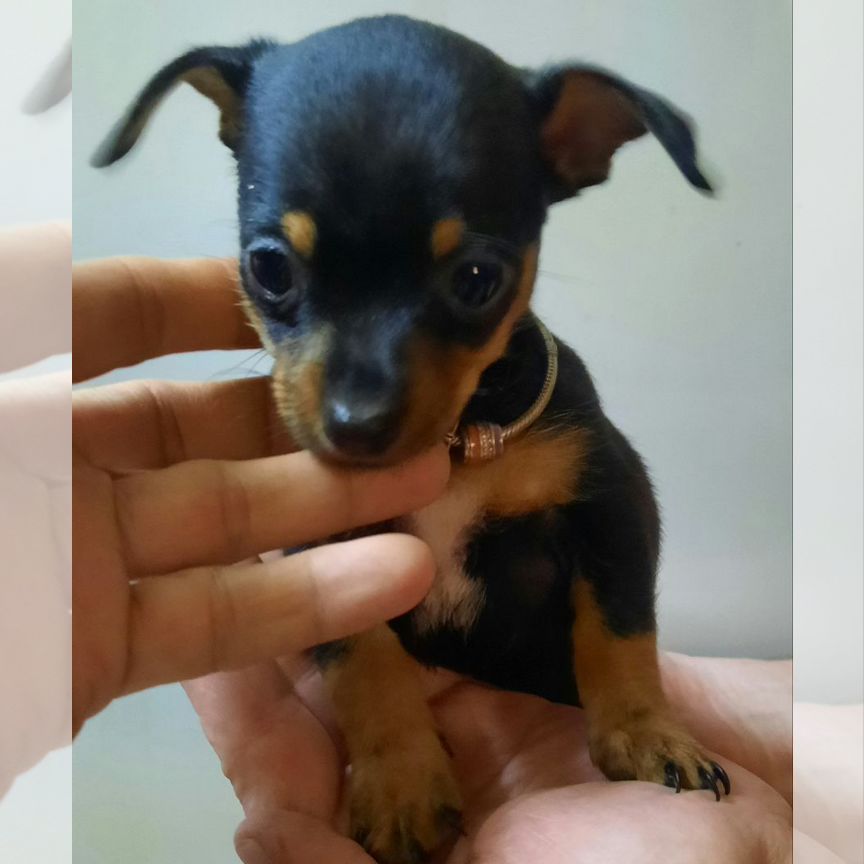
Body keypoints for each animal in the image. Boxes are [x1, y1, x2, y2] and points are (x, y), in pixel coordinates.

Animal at [94, 14, 729, 863]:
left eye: (477, 279)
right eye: (269, 269)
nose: (356, 425)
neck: (456, 449)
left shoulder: (616, 503)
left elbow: (619, 628)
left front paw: (648, 735)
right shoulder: (332, 550)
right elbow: (365, 662)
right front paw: (401, 781)